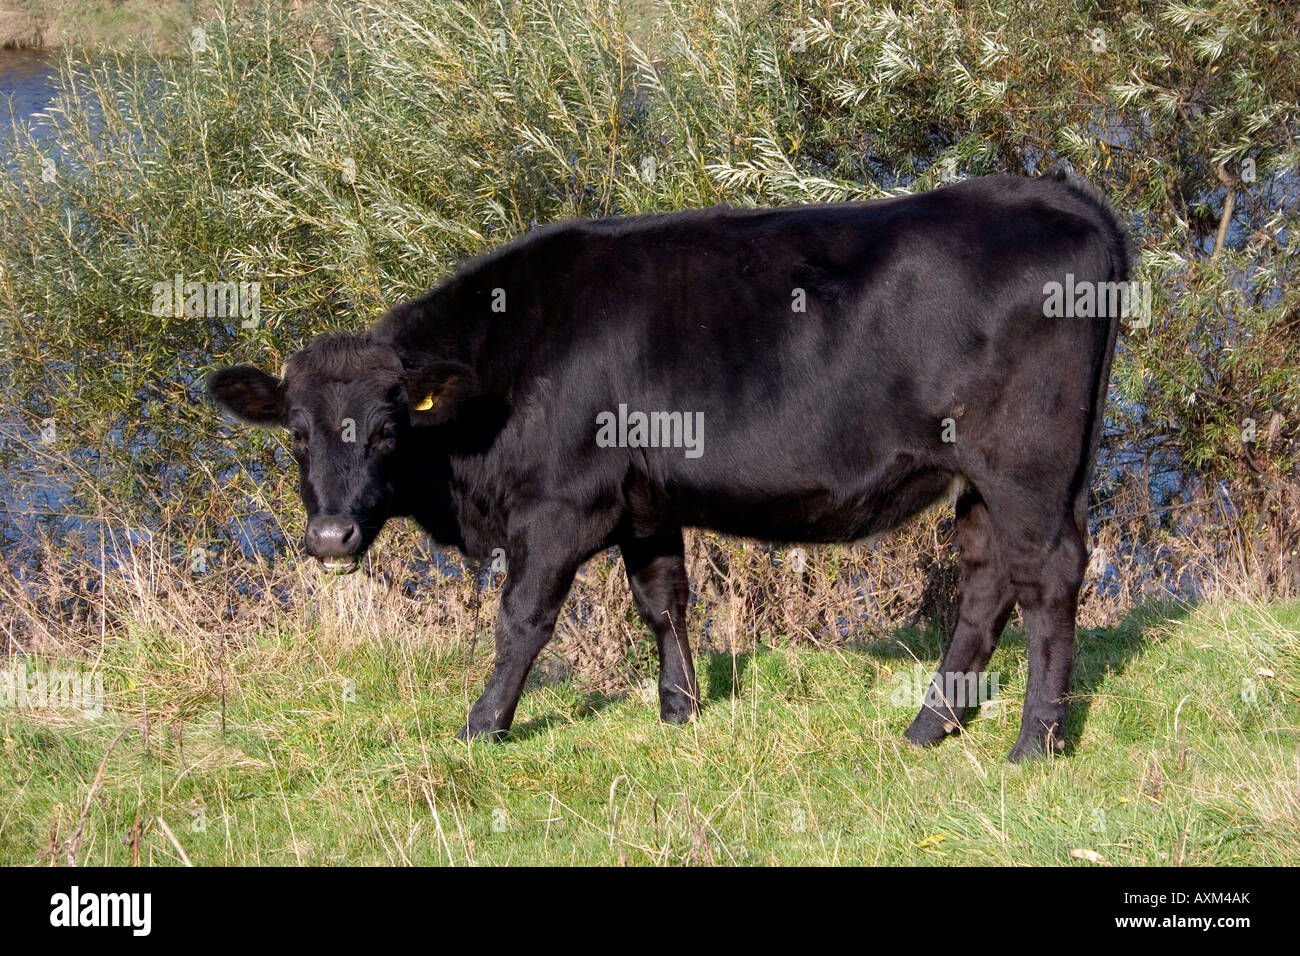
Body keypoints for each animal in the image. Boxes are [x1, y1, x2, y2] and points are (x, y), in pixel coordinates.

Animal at [208, 170, 1128, 761]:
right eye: (297, 432)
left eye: (389, 430)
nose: (330, 536)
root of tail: (1051, 190)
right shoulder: (644, 501)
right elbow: (663, 602)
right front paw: (679, 712)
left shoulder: (560, 507)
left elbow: (521, 622)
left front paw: (480, 728)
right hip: (988, 481)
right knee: (986, 583)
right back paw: (928, 729)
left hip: (1026, 466)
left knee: (1047, 576)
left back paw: (1036, 744)